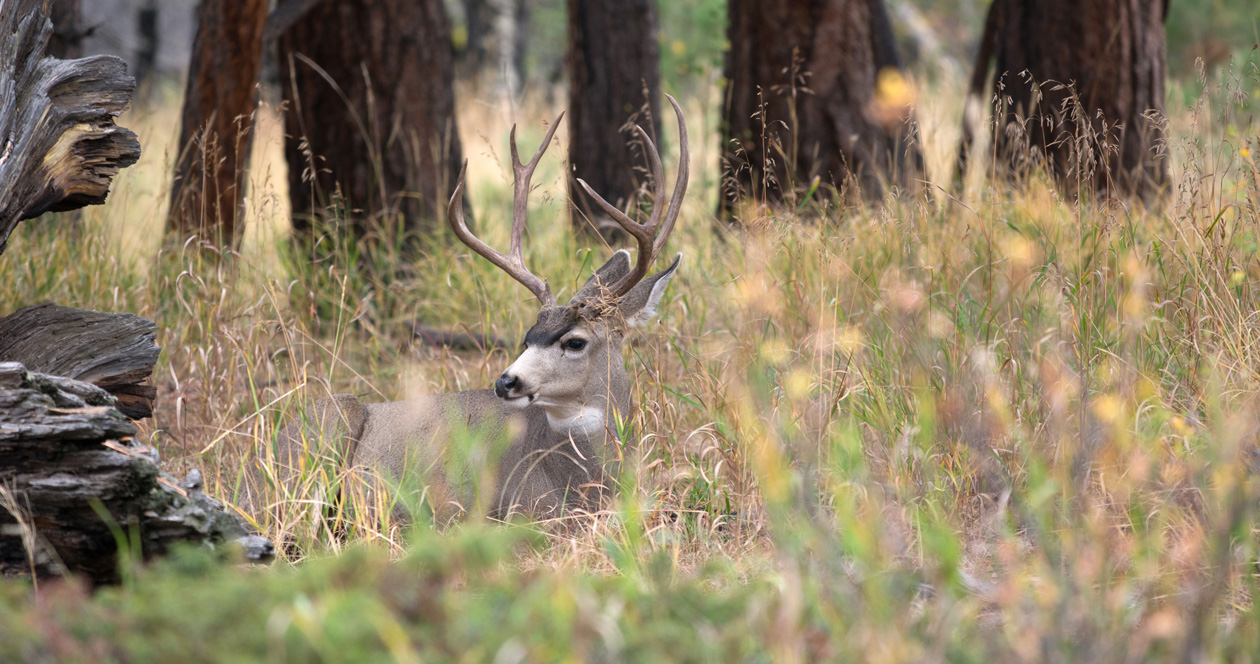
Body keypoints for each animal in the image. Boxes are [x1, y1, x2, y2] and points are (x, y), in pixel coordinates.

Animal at [249, 97, 689, 526]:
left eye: (575, 342)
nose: (506, 381)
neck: (582, 486)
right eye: (527, 337)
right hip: (324, 429)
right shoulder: (513, 514)